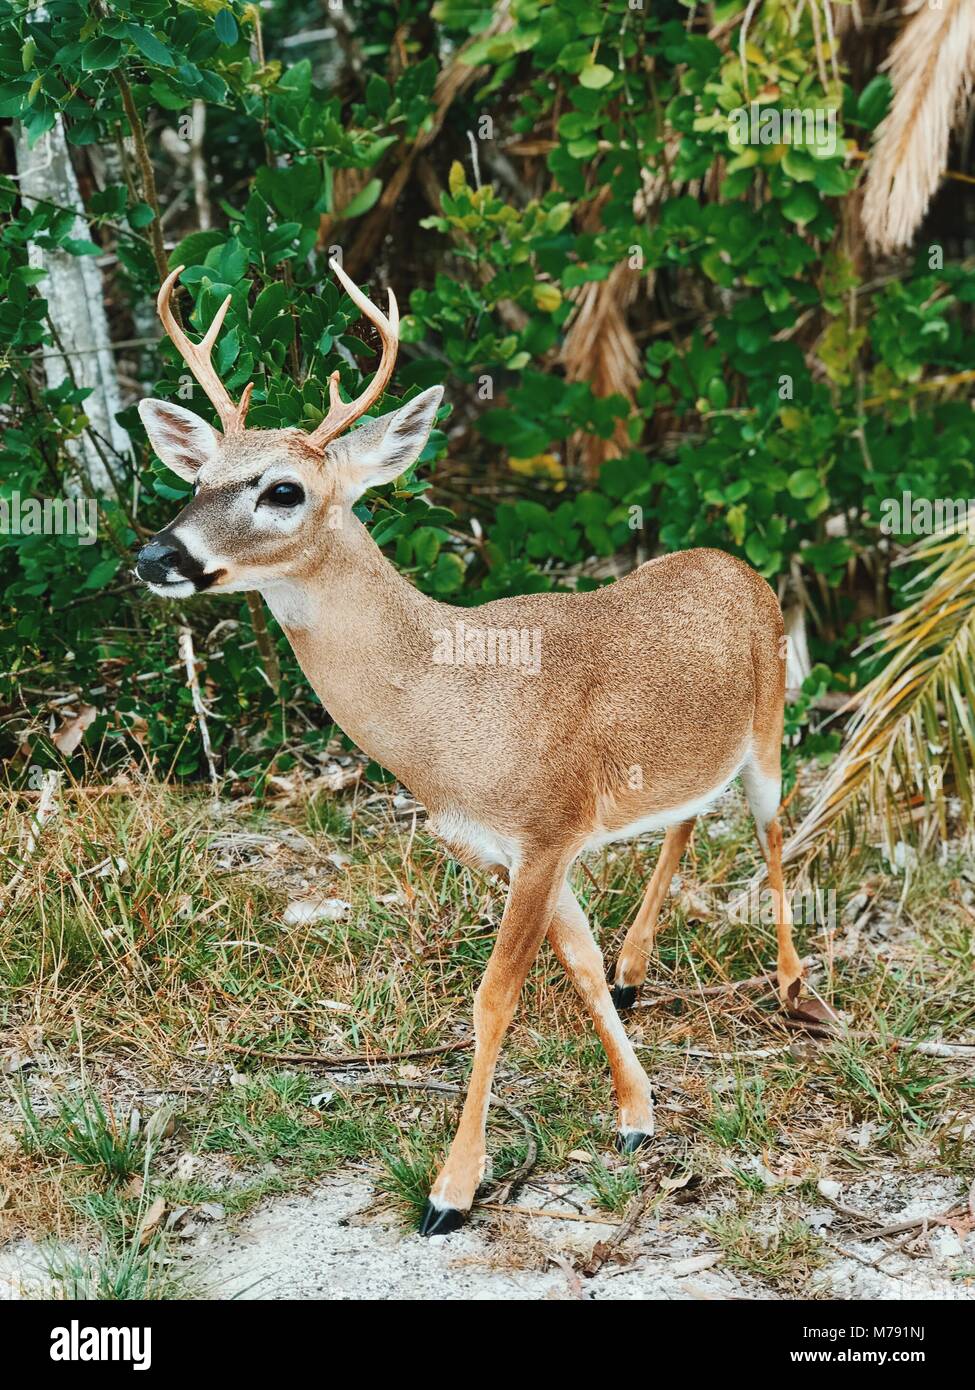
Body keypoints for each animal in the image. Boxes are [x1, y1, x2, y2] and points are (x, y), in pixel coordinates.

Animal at [136, 259, 804, 1236]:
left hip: (769, 727)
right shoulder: (513, 846)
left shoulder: (546, 828)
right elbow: (579, 968)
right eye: (195, 479)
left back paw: (795, 987)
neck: (447, 710)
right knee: (688, 814)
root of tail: (737, 562)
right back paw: (641, 965)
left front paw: (452, 1190)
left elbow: (495, 997)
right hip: (691, 753)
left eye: (283, 490)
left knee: (771, 830)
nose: (157, 556)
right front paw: (634, 1113)